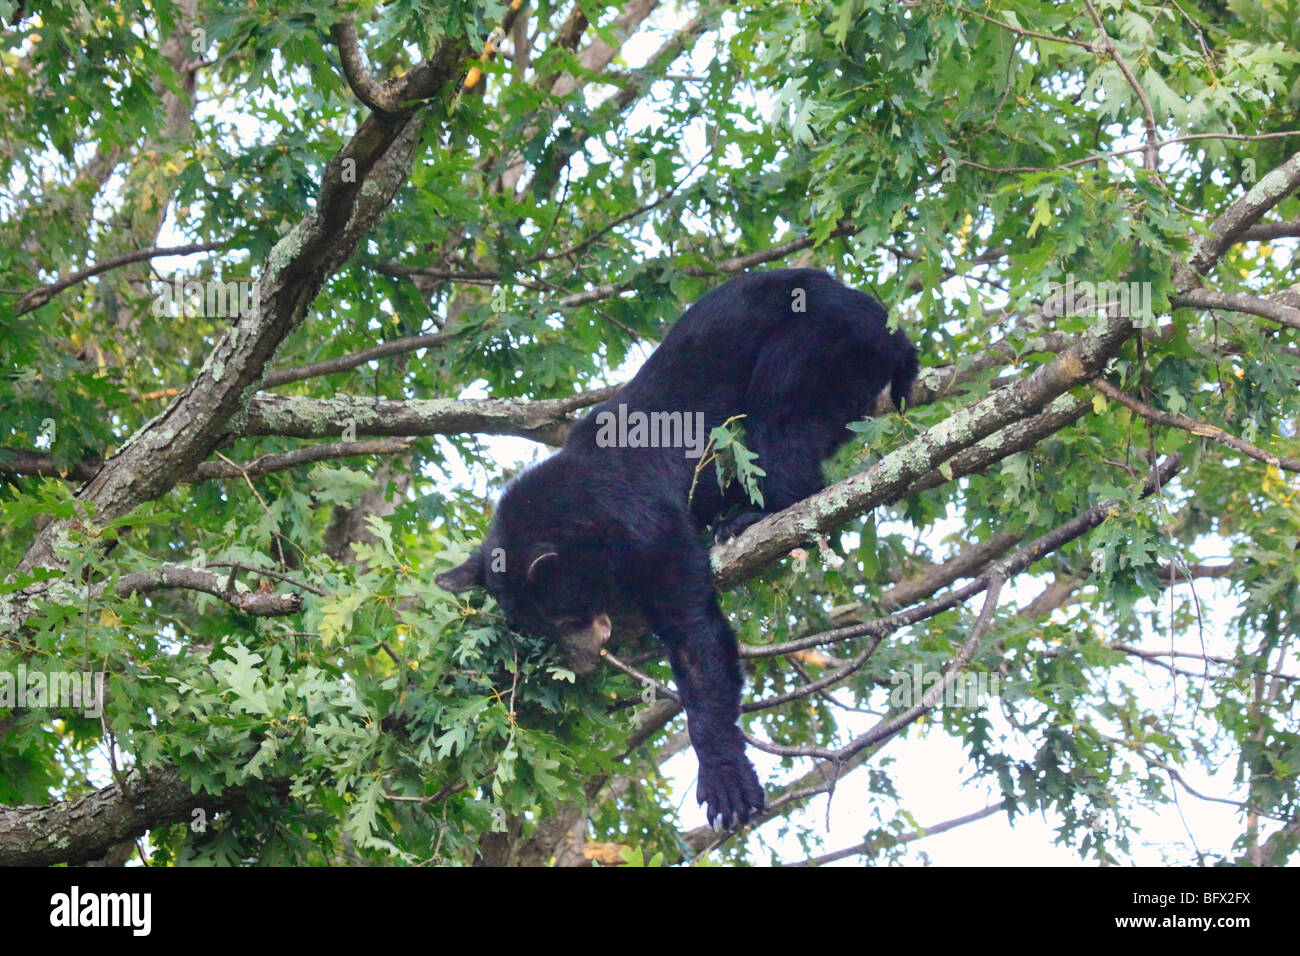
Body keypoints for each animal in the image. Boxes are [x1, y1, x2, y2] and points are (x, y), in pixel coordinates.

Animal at [436, 267, 919, 830]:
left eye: (561, 614)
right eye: (537, 628)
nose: (583, 664)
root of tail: (878, 315)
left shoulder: (649, 525)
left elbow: (694, 637)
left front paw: (725, 782)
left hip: (822, 341)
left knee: (782, 417)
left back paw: (753, 516)